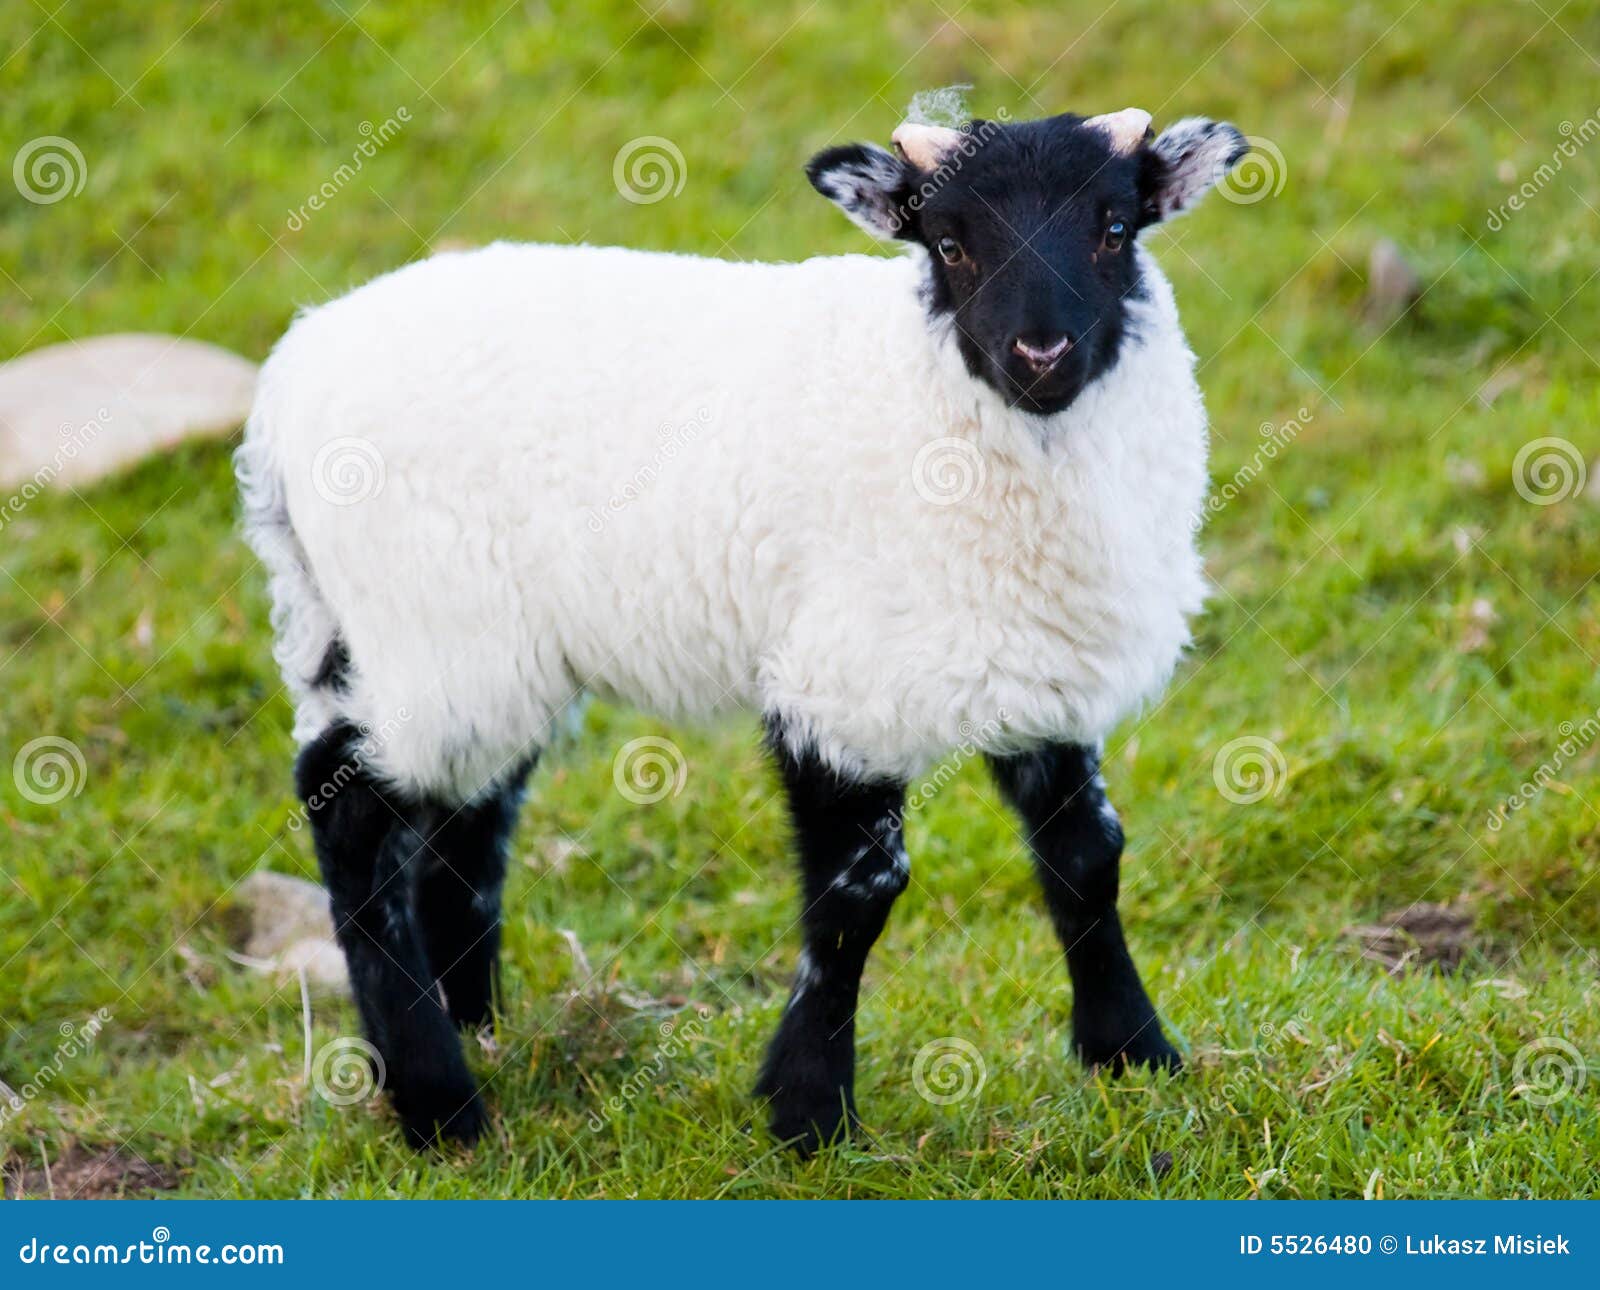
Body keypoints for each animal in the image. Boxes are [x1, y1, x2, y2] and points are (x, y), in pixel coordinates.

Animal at [237, 105, 1248, 1153]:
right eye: (950, 244)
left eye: (1115, 230)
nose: (1039, 355)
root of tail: (284, 388)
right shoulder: (841, 686)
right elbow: (858, 896)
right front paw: (809, 1109)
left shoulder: (1041, 673)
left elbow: (1086, 859)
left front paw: (1134, 1055)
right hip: (433, 625)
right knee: (349, 810)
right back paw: (439, 1101)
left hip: (455, 644)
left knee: (460, 824)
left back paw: (478, 1024)